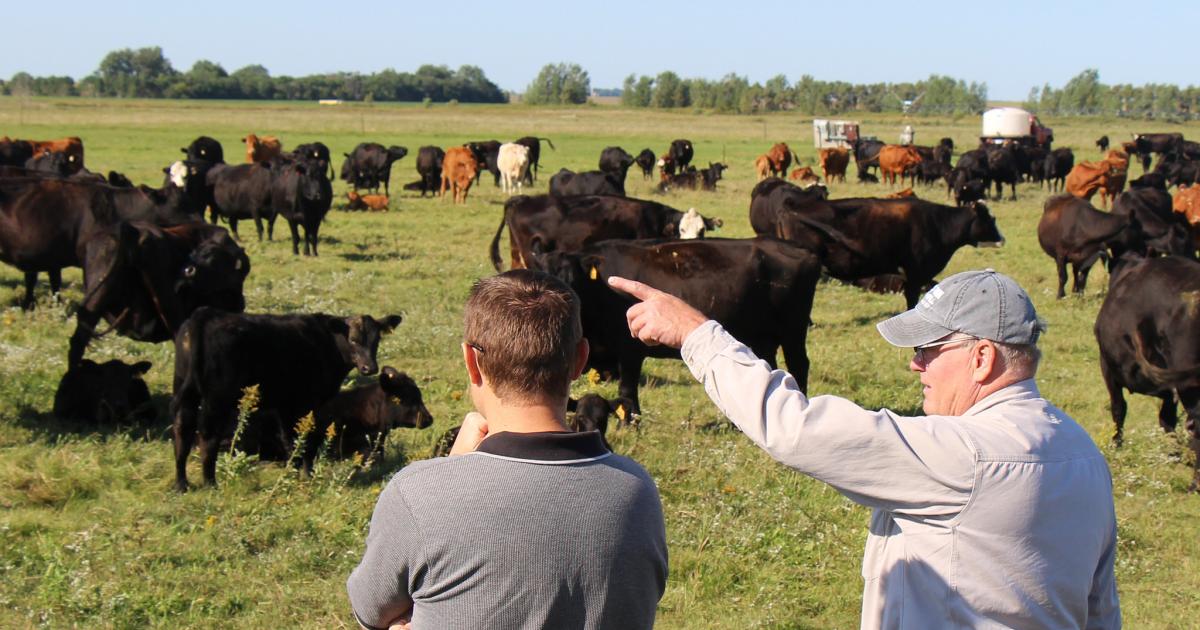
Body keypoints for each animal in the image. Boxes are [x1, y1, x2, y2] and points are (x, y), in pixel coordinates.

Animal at [69, 220, 250, 367]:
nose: (188, 270)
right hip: (169, 308)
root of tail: (133, 232)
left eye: (214, 259)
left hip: (96, 297)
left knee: (78, 342)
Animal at [169, 307, 403, 490]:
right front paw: (308, 474)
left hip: (186, 392)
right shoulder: (307, 403)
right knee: (207, 438)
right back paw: (210, 483)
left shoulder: (285, 405)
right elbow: (306, 437)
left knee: (182, 432)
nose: (369, 367)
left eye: (377, 340)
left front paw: (294, 472)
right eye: (353, 339)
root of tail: (205, 314)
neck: (327, 343)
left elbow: (289, 438)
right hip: (216, 399)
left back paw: (182, 484)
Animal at [536, 237, 821, 413]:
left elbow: (627, 388)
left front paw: (631, 421)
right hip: (764, 338)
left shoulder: (629, 349)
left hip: (793, 331)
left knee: (799, 364)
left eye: (572, 278)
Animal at [1095, 254, 1200, 491]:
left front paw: (1116, 443)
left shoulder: (1108, 367)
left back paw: (1194, 484)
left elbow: (1118, 408)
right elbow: (1166, 419)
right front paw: (1174, 454)